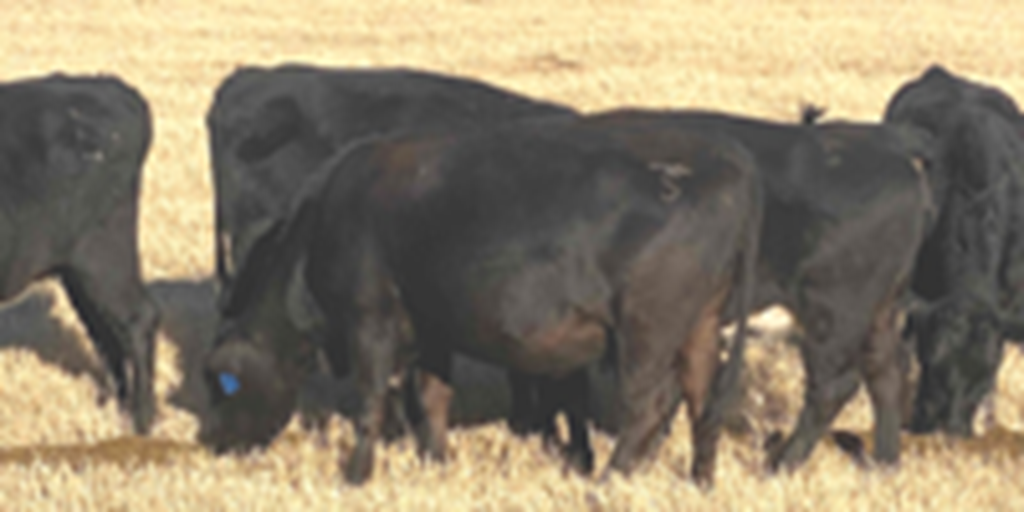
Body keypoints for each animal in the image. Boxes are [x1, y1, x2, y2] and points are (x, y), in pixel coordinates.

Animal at [0, 74, 158, 434]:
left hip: (104, 255)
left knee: (137, 319)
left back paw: (141, 419)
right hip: (77, 270)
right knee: (104, 329)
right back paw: (116, 407)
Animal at [198, 116, 762, 487]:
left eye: (223, 381)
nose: (212, 443)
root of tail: (727, 159)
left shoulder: (370, 316)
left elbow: (372, 399)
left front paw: (356, 476)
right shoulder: (431, 329)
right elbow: (431, 397)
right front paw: (436, 463)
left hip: (647, 329)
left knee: (648, 406)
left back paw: (607, 483)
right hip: (700, 324)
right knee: (703, 398)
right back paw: (700, 481)